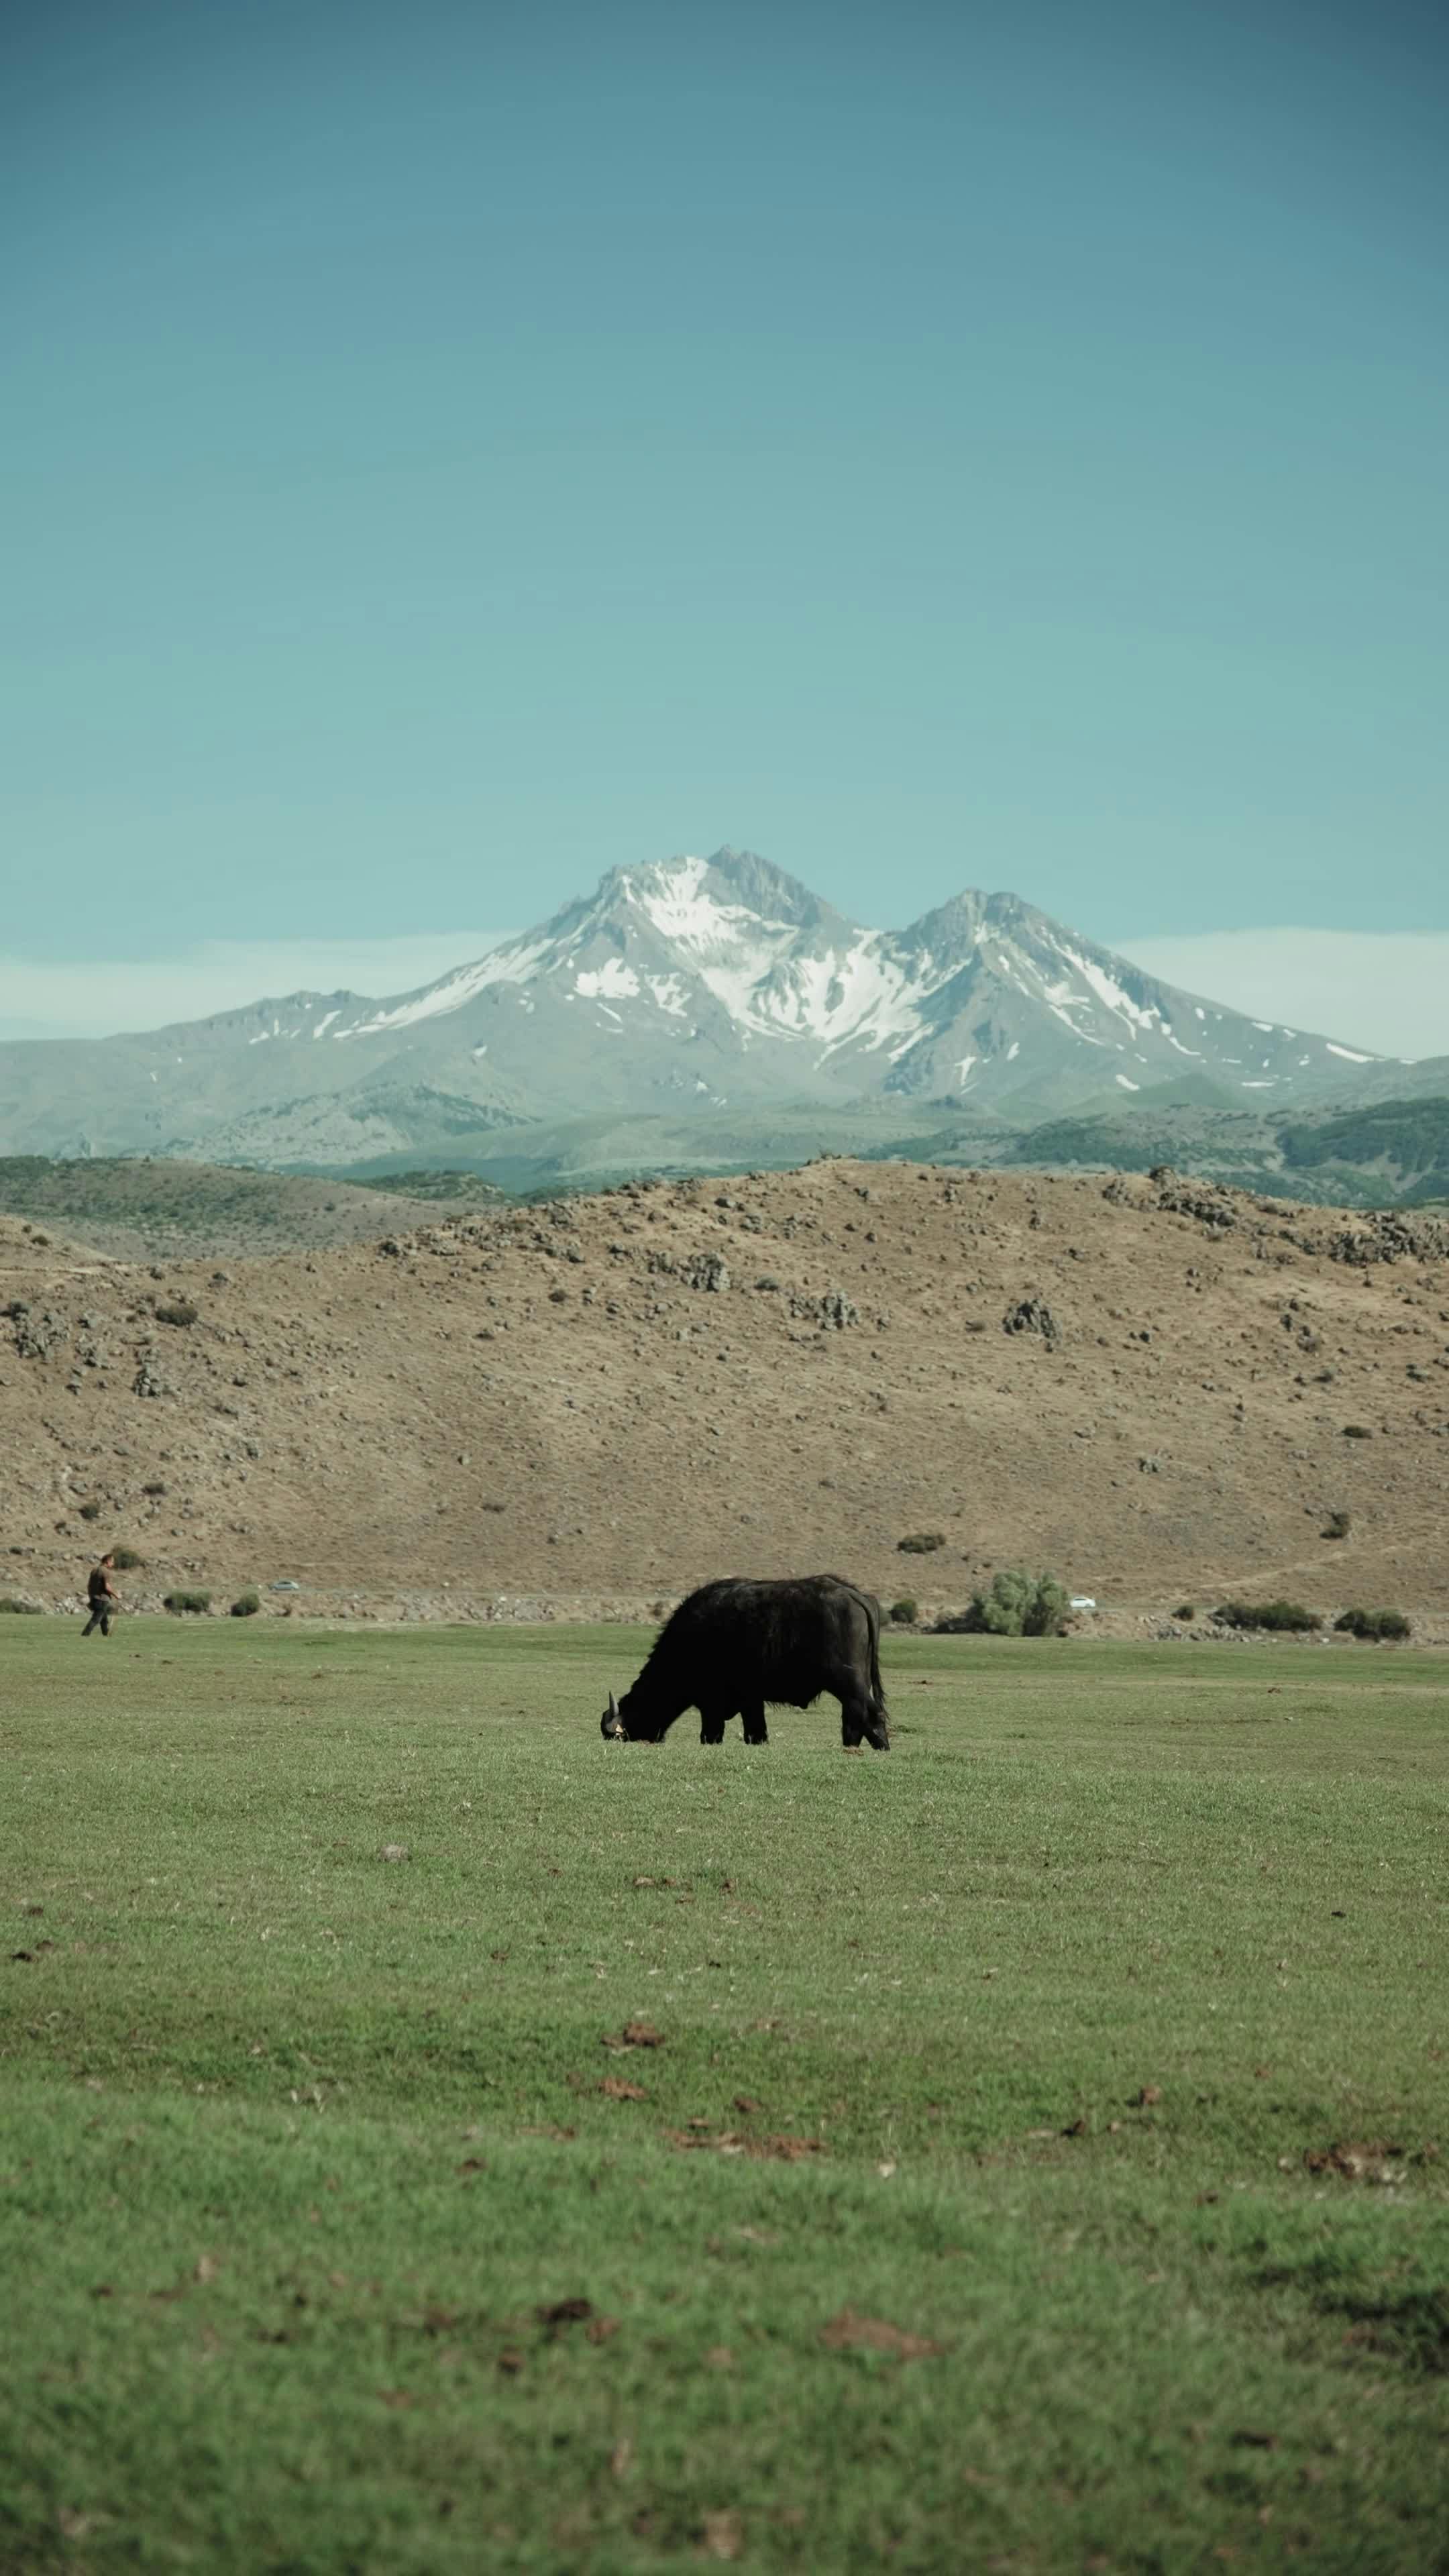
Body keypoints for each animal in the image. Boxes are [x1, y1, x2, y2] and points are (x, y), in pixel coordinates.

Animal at [600, 1574, 889, 1750]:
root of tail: (852, 1594)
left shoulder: (713, 1705)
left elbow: (713, 1735)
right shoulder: (751, 1701)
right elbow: (756, 1733)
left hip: (847, 1682)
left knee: (870, 1716)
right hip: (854, 1685)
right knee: (854, 1720)